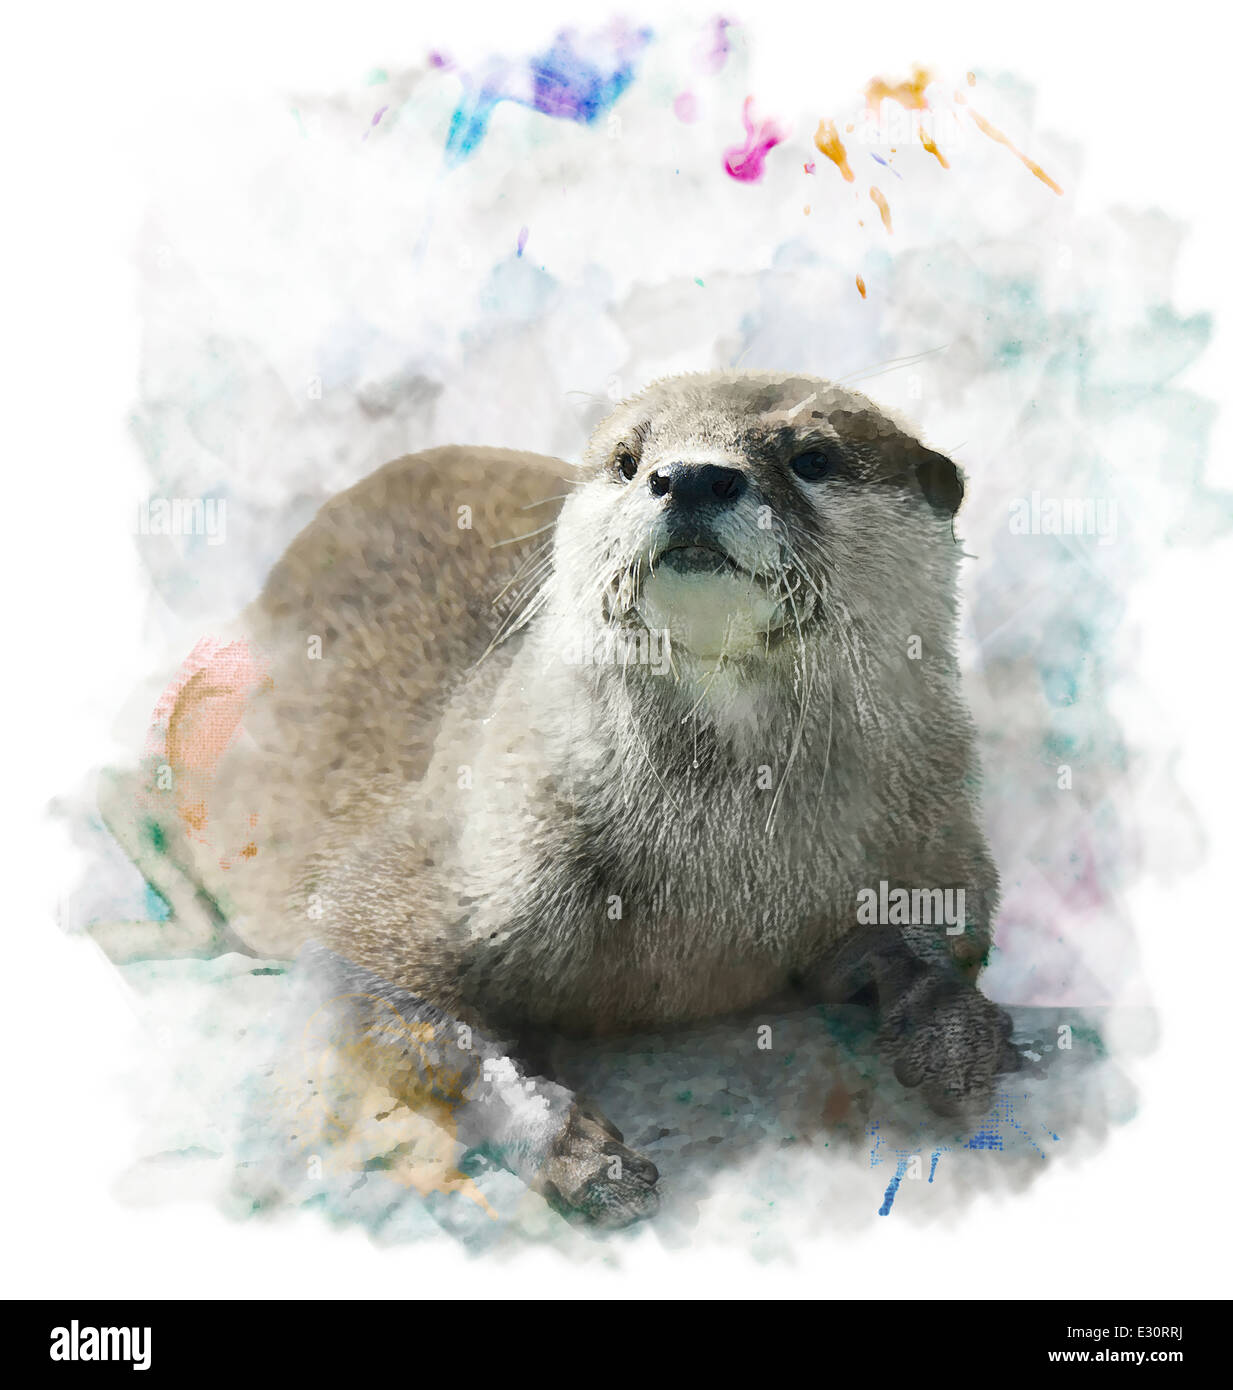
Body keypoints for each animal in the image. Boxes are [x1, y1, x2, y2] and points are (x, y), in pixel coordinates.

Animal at [103, 370, 1019, 1228]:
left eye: (812, 457)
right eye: (627, 459)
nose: (691, 477)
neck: (716, 874)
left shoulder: (933, 836)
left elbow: (942, 938)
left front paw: (952, 1030)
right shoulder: (446, 856)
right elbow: (386, 990)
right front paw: (578, 1154)